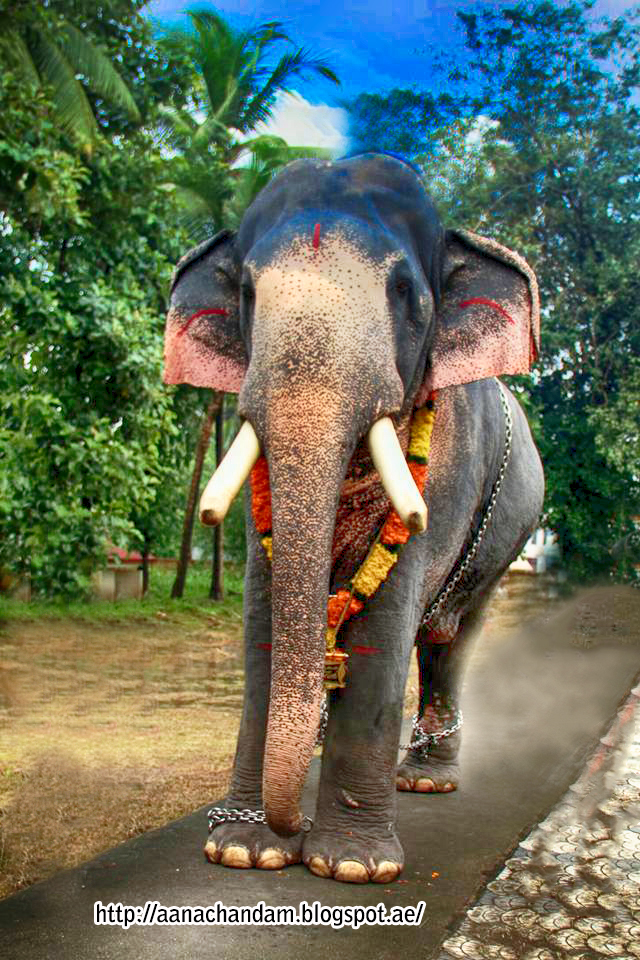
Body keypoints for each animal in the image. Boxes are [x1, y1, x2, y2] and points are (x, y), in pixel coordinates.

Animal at [164, 153, 544, 885]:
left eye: (405, 293)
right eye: (247, 294)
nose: (288, 826)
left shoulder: (444, 479)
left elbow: (382, 633)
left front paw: (351, 867)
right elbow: (264, 619)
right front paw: (244, 851)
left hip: (505, 536)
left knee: (451, 636)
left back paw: (425, 779)